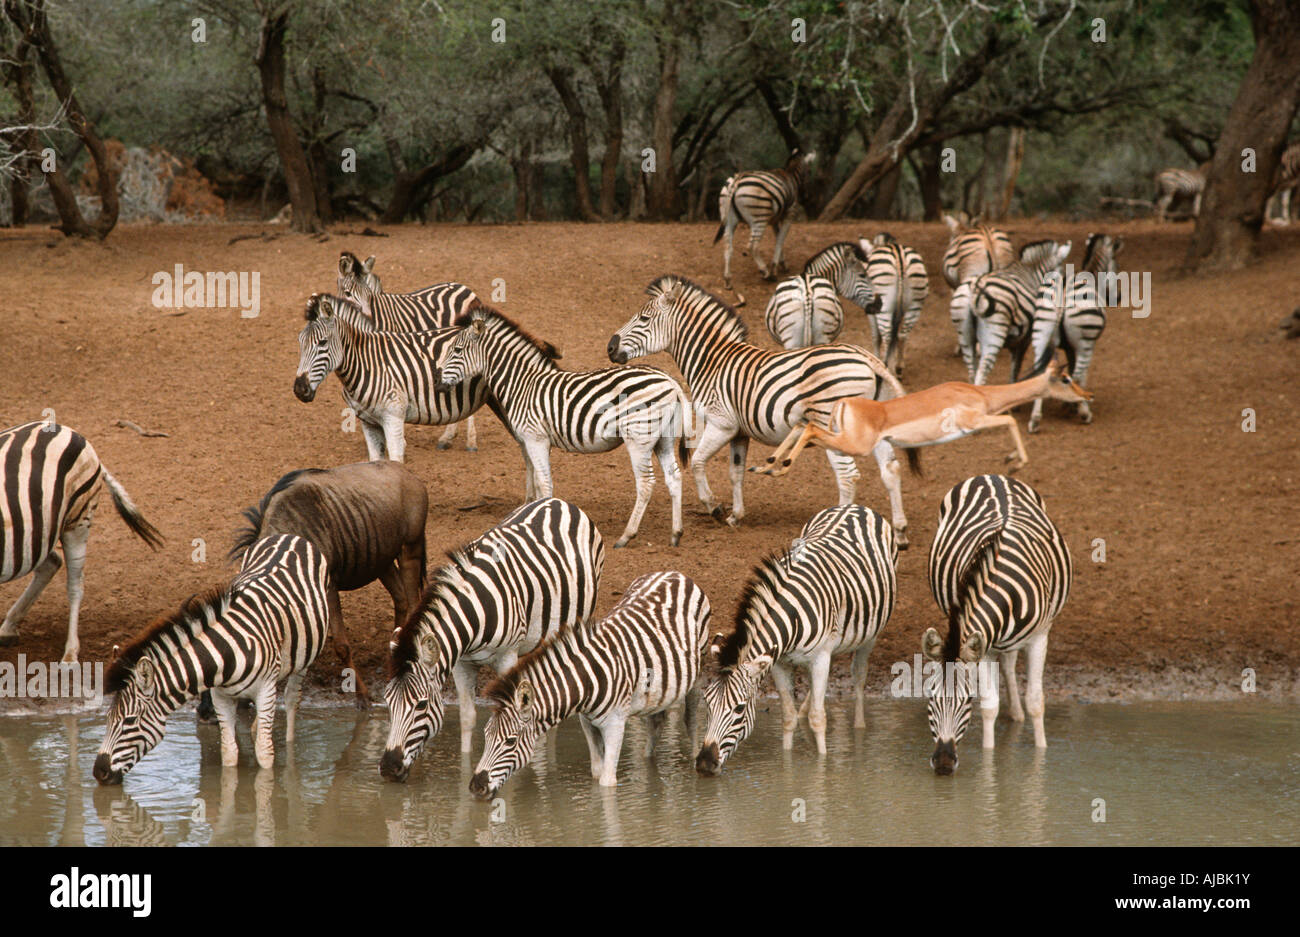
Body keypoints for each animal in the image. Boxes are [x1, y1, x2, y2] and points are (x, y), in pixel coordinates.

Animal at [751, 358, 1091, 478]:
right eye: (1065, 379)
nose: (1087, 396)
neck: (980, 394)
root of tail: (846, 403)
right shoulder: (973, 423)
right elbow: (1009, 421)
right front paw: (1015, 463)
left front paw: (1009, 459)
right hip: (854, 444)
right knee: (808, 427)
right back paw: (780, 467)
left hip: (838, 435)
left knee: (800, 425)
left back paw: (767, 466)